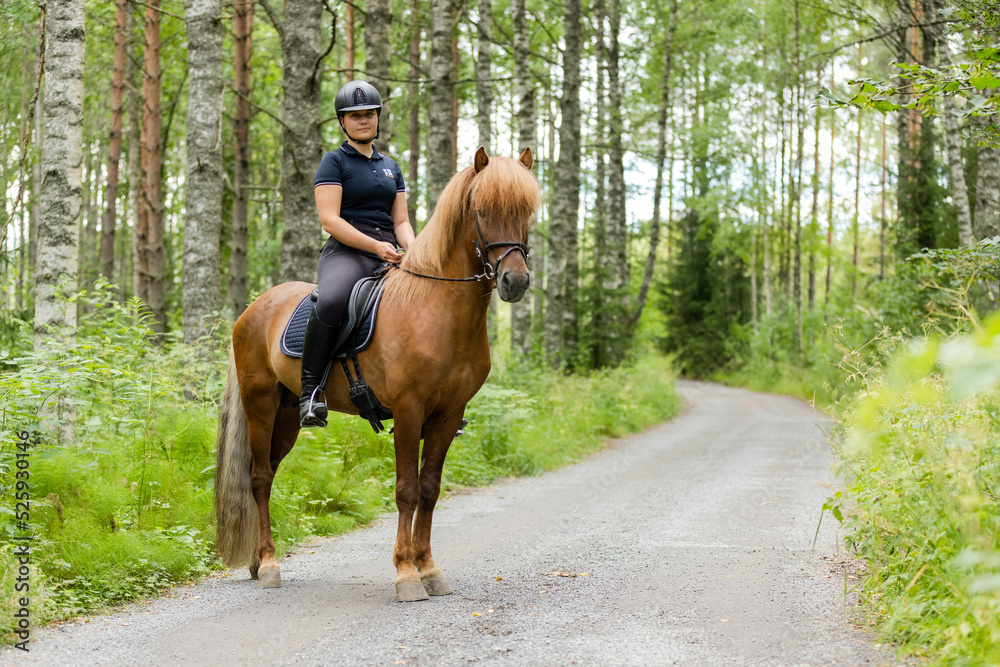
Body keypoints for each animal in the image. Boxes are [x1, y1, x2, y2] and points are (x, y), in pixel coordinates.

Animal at [213, 147, 541, 601]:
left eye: (526, 210)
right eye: (481, 210)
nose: (515, 281)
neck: (437, 307)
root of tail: (252, 309)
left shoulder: (448, 414)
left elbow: (430, 489)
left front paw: (429, 569)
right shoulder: (408, 410)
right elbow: (406, 491)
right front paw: (406, 574)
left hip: (286, 415)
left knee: (268, 474)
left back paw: (256, 561)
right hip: (259, 403)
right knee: (260, 478)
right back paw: (270, 566)